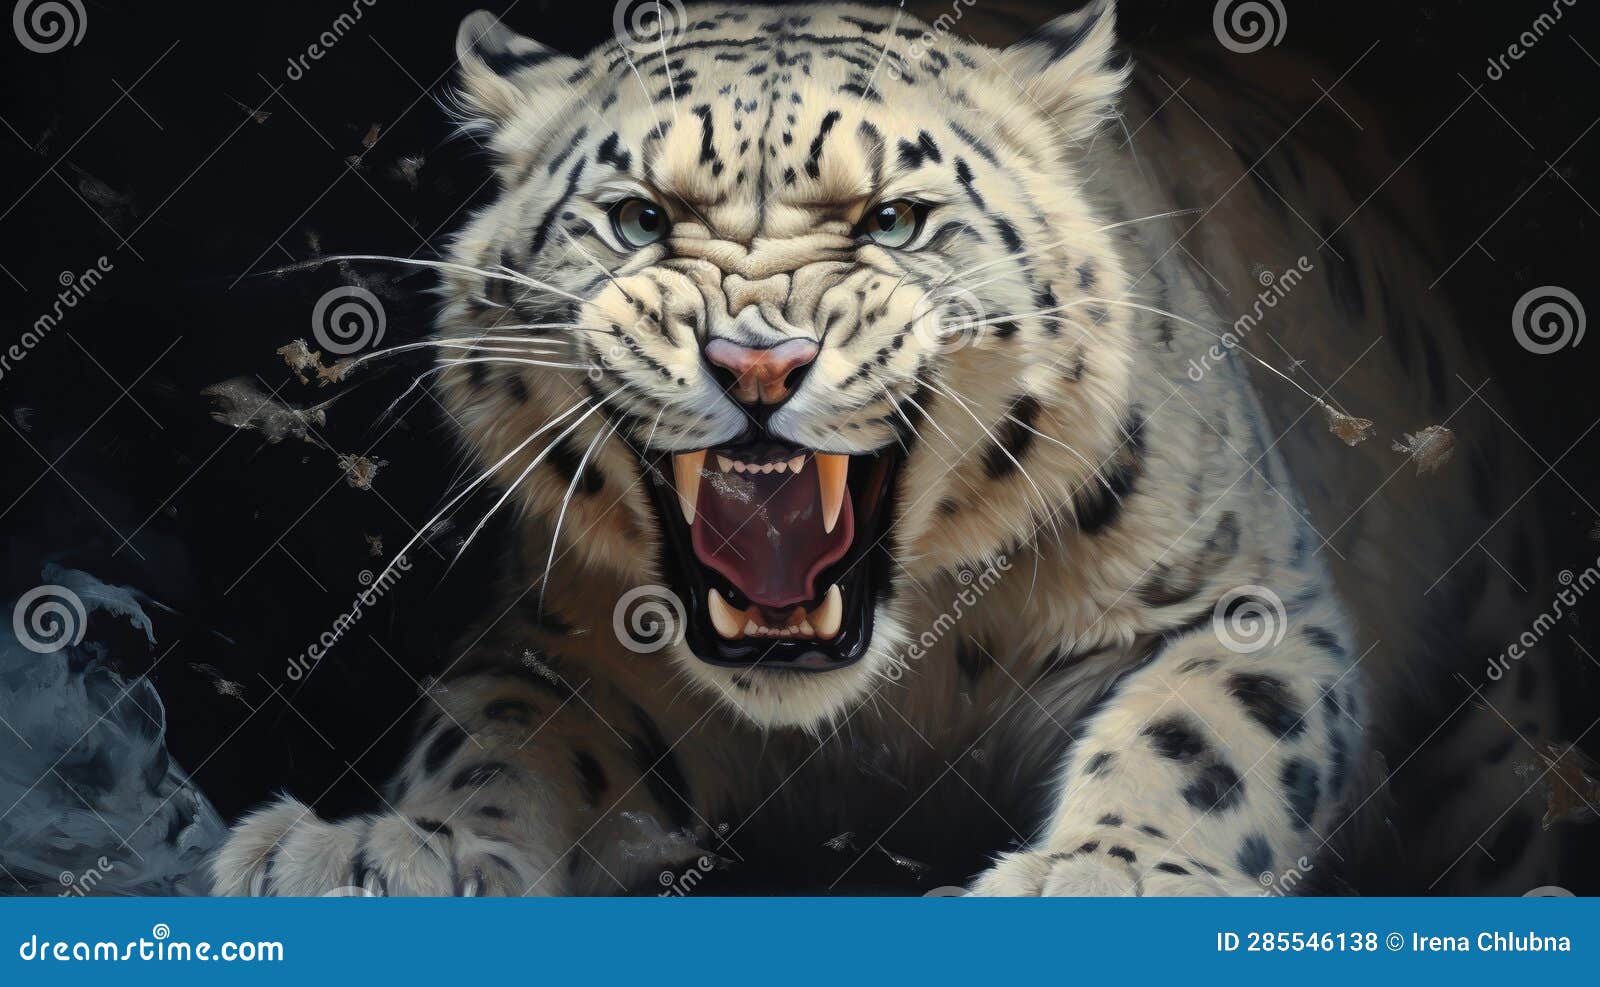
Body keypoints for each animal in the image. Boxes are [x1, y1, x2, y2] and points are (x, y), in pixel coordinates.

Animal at [211, 0, 1567, 896]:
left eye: (896, 218)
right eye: (637, 218)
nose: (756, 361)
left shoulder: (1237, 596)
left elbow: (1206, 738)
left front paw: (1100, 876)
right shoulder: (566, 640)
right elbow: (494, 734)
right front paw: (386, 851)